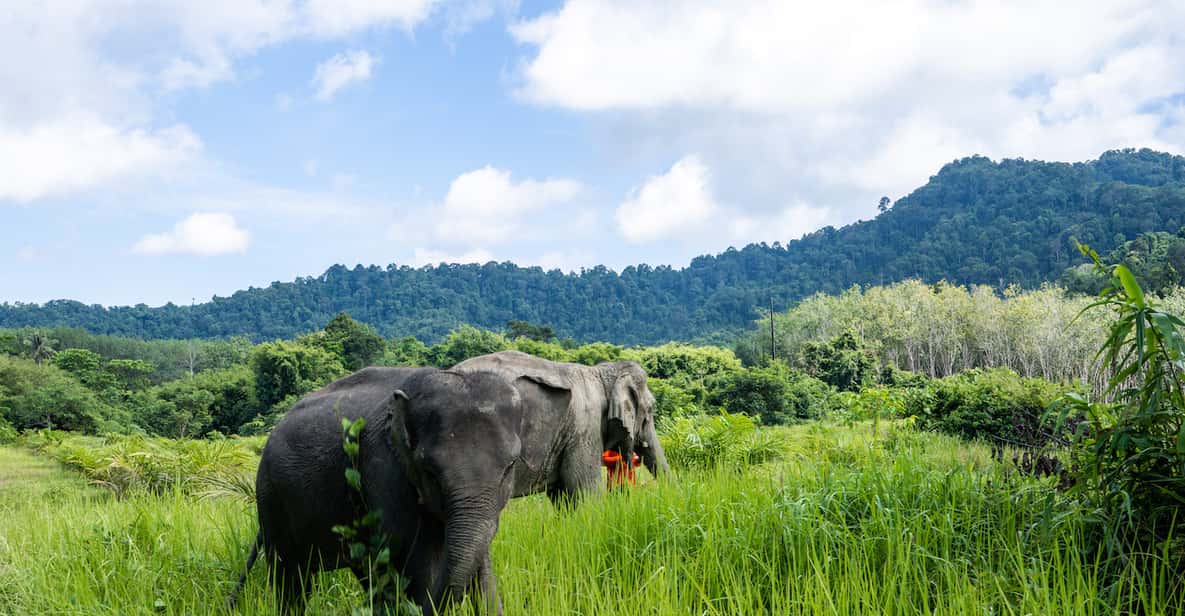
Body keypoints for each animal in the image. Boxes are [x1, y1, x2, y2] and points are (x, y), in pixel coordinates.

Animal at [230, 366, 525, 614]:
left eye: (510, 466)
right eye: (429, 470)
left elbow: (481, 570)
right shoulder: (383, 470)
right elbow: (417, 566)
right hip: (270, 497)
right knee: (291, 579)